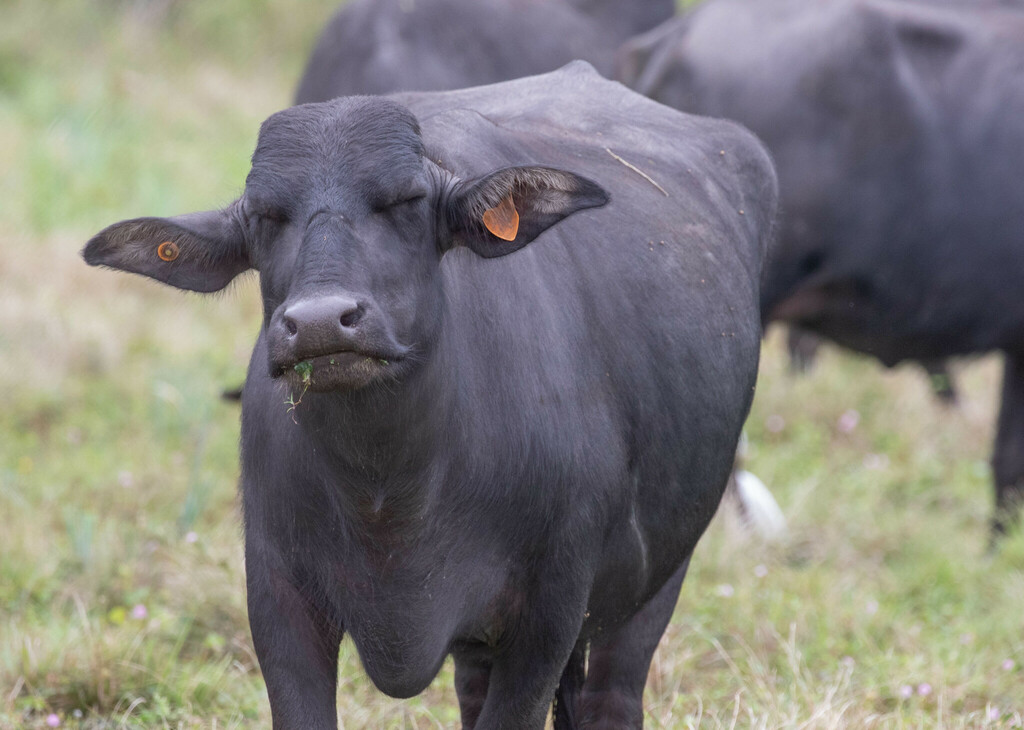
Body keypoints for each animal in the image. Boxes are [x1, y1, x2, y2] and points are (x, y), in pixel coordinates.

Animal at [83, 63, 777, 728]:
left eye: (407, 199)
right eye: (264, 215)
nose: (321, 322)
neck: (389, 492)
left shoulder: (550, 612)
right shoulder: (278, 601)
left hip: (658, 578)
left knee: (614, 697)